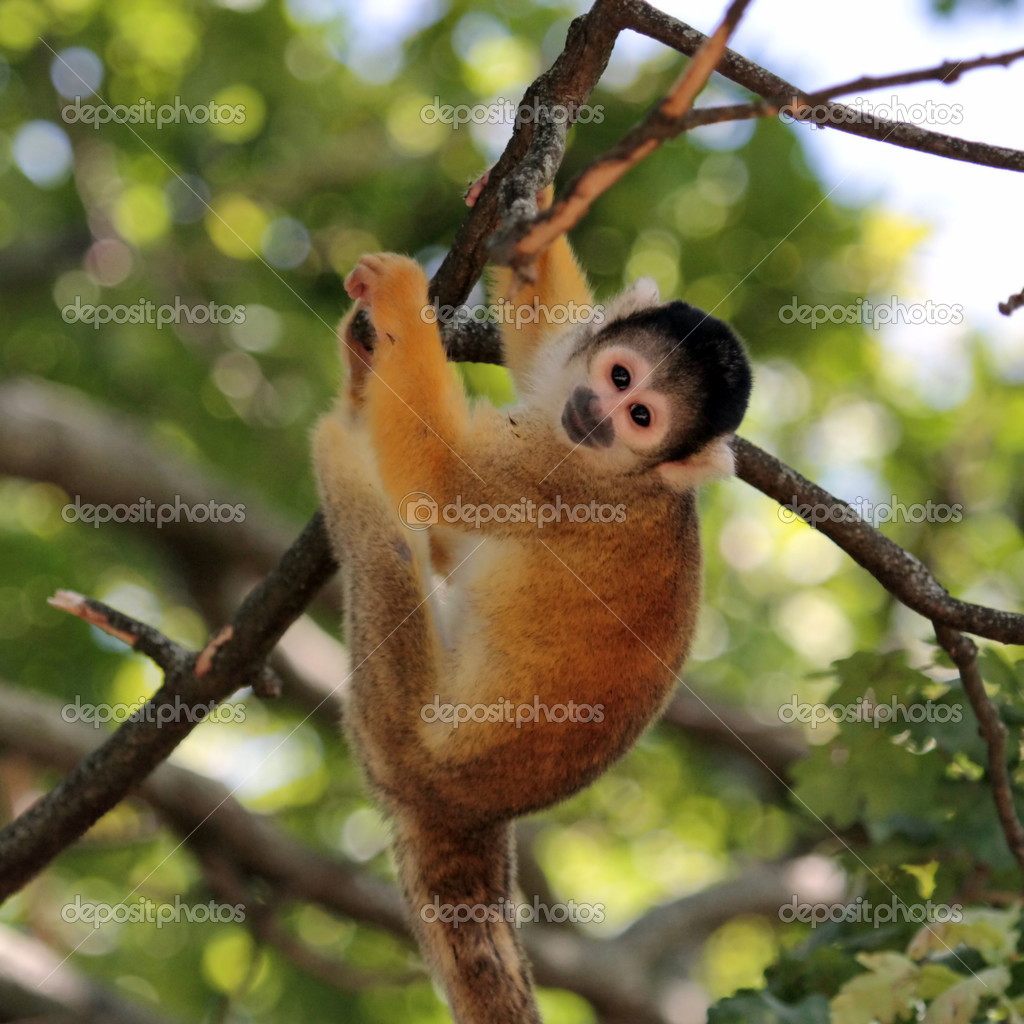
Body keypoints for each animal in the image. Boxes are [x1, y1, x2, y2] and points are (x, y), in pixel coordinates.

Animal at [311, 180, 752, 1023]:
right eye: (621, 378)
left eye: (641, 419)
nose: (597, 415)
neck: (634, 473)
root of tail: (465, 810)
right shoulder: (562, 399)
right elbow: (543, 334)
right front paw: (536, 196)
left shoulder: (563, 475)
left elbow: (441, 478)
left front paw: (402, 297)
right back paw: (357, 376)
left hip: (391, 722)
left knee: (387, 534)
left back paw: (345, 433)